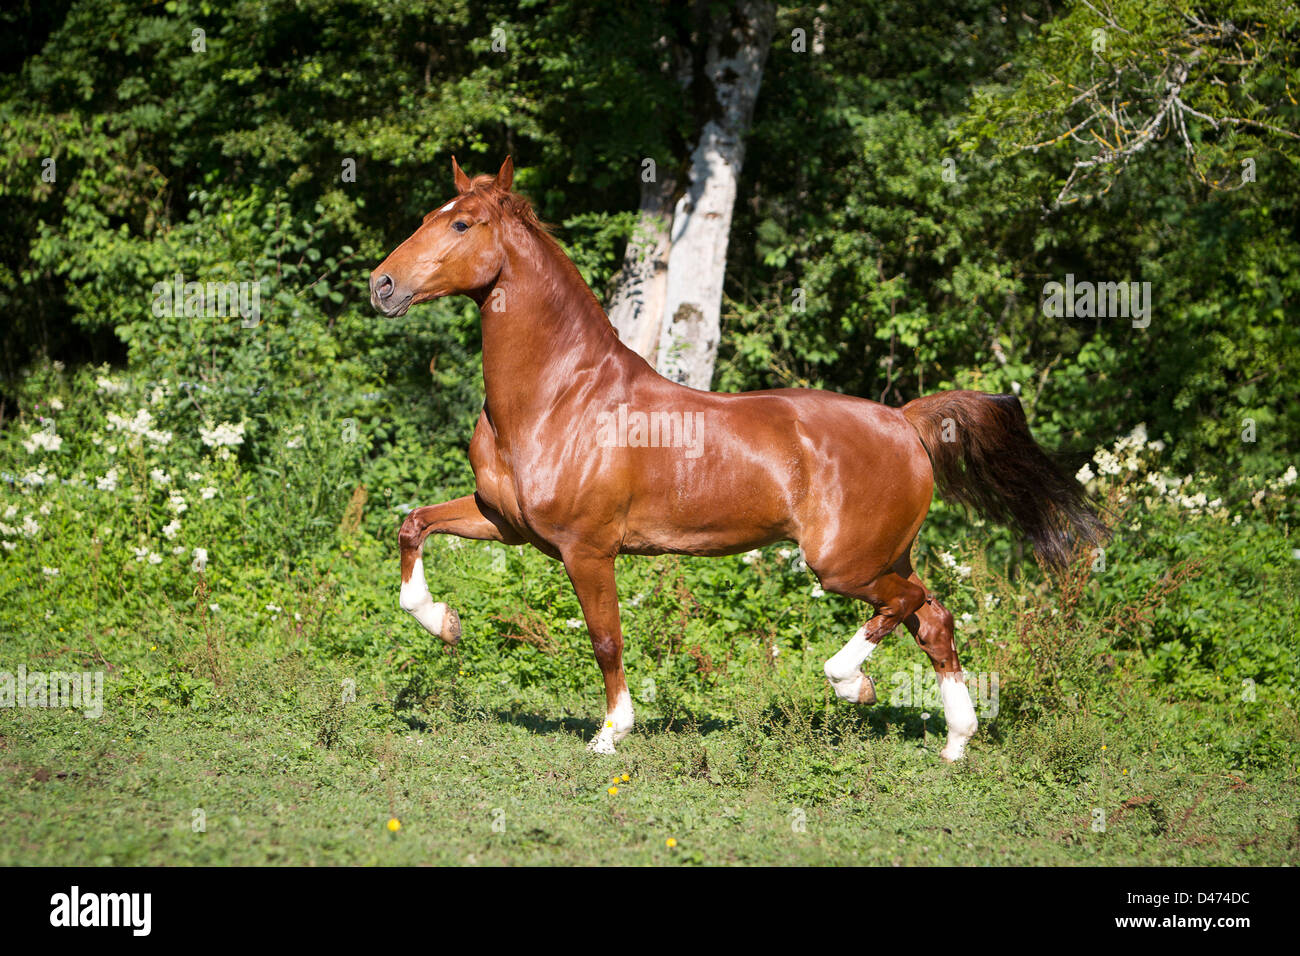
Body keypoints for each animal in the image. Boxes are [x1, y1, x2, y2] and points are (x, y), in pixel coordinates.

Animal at [369, 156, 1107, 761]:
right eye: (429, 216)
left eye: (461, 223)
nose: (381, 285)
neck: (558, 399)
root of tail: (904, 421)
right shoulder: (505, 522)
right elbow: (413, 524)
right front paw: (444, 623)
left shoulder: (588, 548)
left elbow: (606, 638)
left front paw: (611, 735)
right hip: (883, 555)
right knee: (934, 620)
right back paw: (955, 741)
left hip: (844, 564)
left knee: (911, 605)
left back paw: (853, 685)